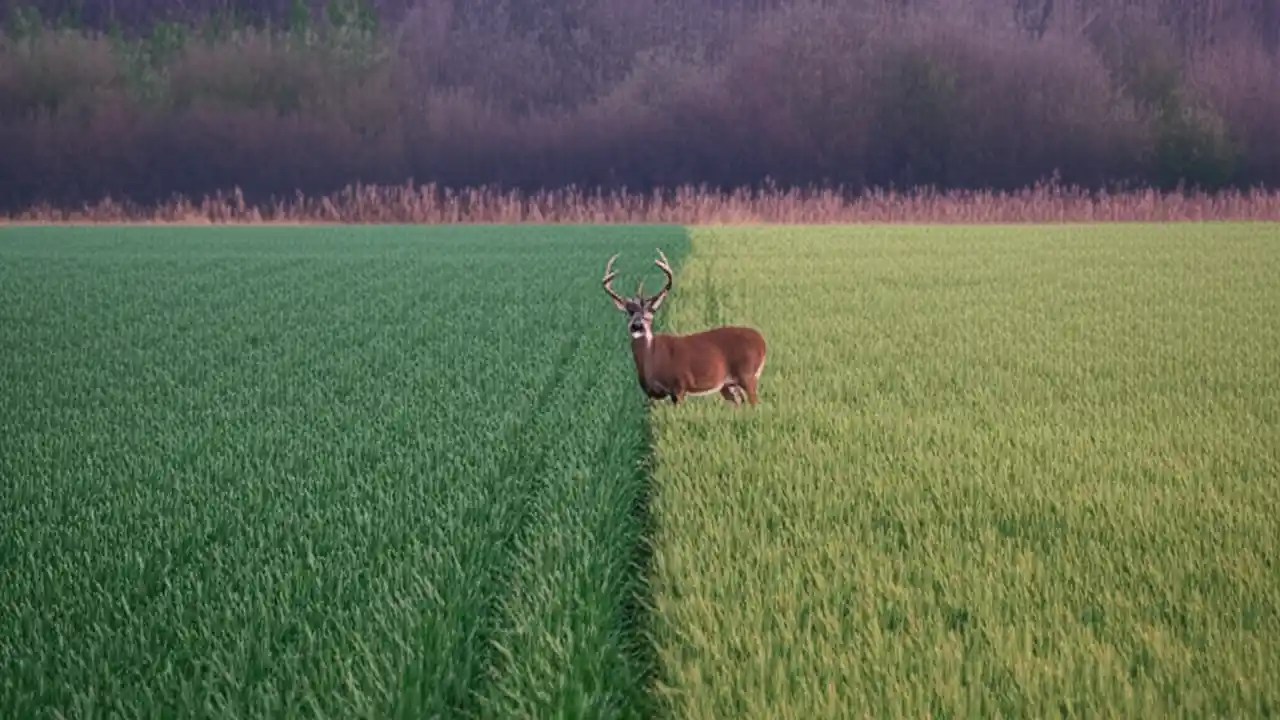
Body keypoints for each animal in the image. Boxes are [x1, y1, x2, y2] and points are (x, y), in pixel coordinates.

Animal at [602, 249, 767, 406]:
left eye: (650, 314)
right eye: (629, 313)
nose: (637, 326)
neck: (651, 363)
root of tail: (762, 341)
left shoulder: (679, 386)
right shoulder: (651, 395)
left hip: (748, 374)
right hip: (728, 385)